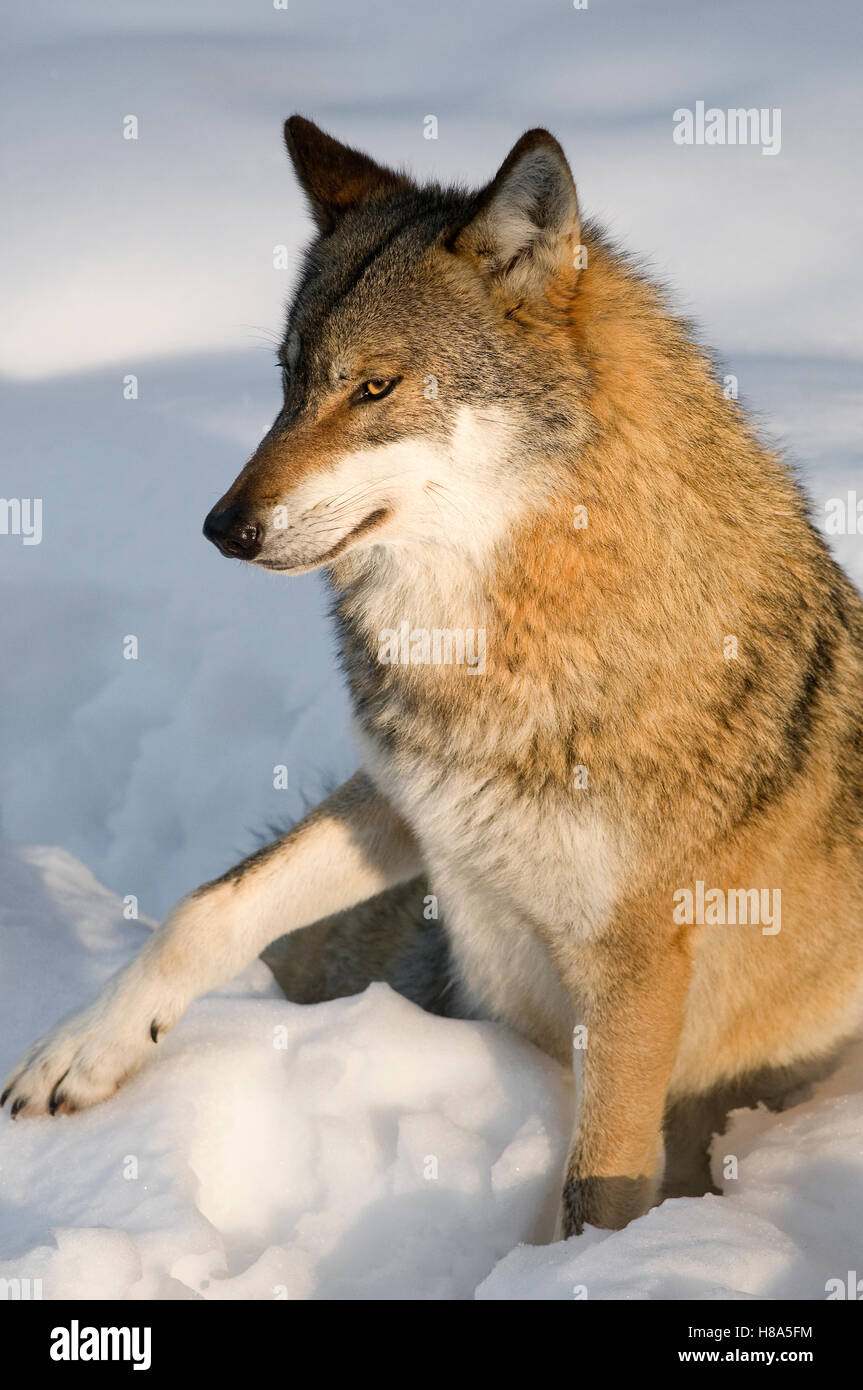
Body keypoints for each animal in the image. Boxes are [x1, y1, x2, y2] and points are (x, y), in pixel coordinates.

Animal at [5, 117, 863, 1238]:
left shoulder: (633, 971)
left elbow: (599, 1183)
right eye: (288, 382)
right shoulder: (413, 801)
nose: (222, 528)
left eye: (374, 386)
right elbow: (209, 908)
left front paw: (585, 1265)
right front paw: (82, 1050)